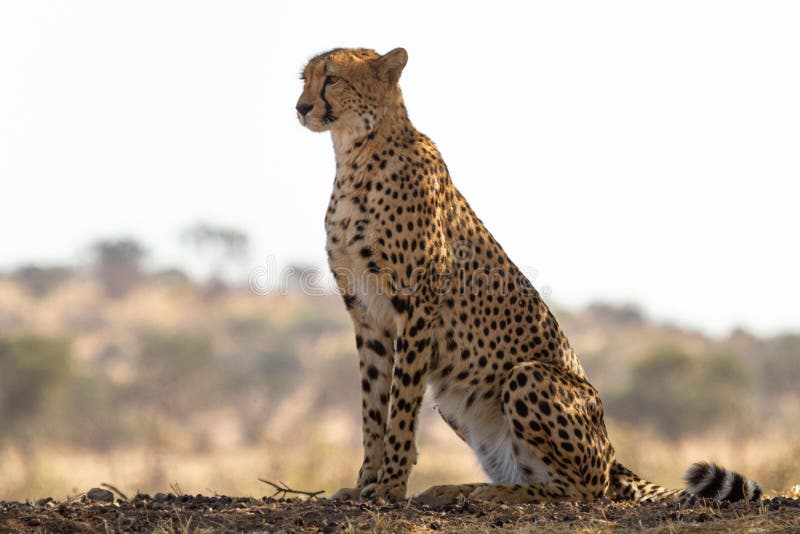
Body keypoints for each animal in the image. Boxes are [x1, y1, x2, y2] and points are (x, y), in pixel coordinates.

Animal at [294, 46, 762, 505]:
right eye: (305, 78)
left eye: (333, 78)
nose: (300, 107)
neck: (356, 155)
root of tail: (612, 457)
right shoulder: (367, 315)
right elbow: (373, 408)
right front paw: (364, 484)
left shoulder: (417, 306)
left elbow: (402, 406)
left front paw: (389, 487)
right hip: (458, 404)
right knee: (531, 476)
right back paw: (457, 489)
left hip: (528, 375)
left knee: (580, 492)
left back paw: (476, 493)